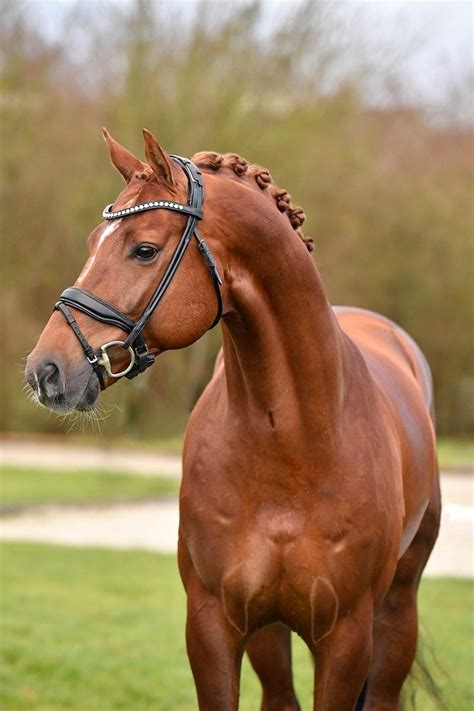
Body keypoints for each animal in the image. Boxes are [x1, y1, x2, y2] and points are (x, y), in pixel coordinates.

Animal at [25, 128, 441, 710]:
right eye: (91, 242)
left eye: (144, 249)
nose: (46, 370)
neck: (291, 443)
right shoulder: (214, 625)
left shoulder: (346, 639)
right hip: (271, 632)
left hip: (398, 613)